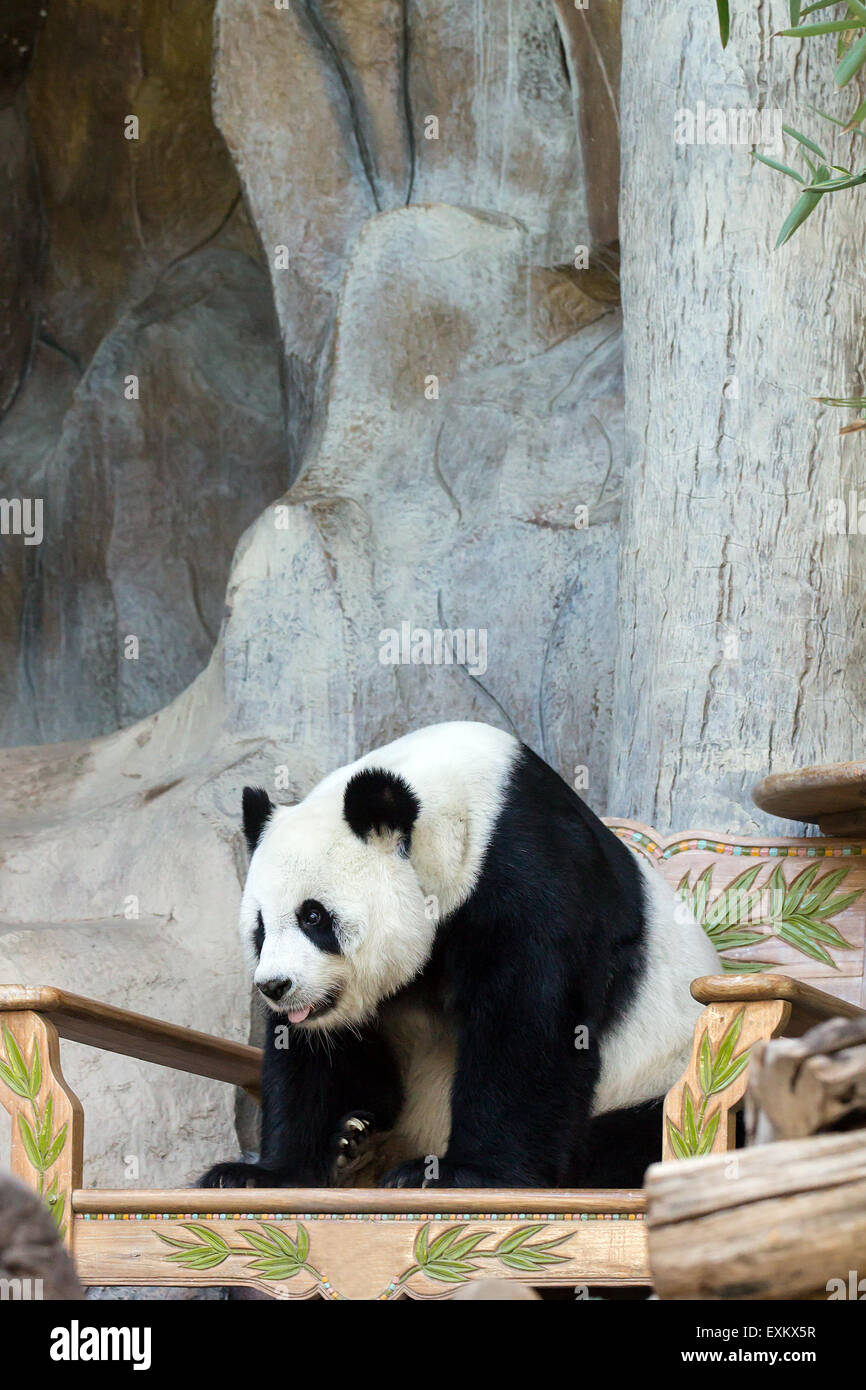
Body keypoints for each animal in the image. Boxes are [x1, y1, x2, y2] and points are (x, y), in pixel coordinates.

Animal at [200, 721, 720, 1190]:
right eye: (260, 928)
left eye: (313, 916)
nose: (275, 986)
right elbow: (316, 1058)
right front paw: (260, 1174)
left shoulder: (533, 878)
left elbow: (527, 1026)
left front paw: (465, 1173)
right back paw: (356, 1143)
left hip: (660, 1078)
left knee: (632, 1141)